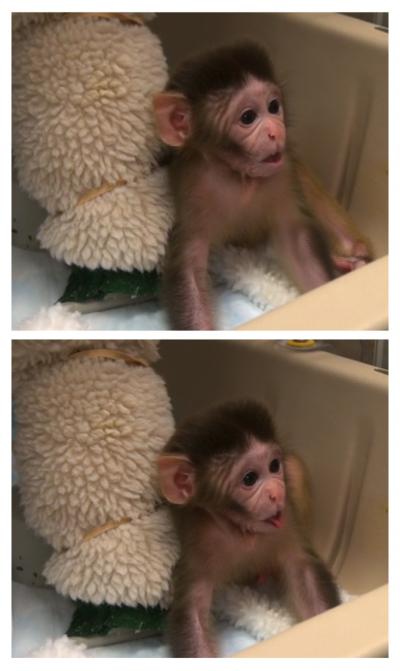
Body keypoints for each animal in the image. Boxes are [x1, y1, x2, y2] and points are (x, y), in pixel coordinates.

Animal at [153, 41, 371, 329]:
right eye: (248, 117)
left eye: (273, 106)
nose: (275, 132)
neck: (238, 176)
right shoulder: (193, 188)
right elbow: (188, 263)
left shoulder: (283, 173)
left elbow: (296, 241)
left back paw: (351, 255)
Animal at [157, 399, 340, 657]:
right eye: (249, 479)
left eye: (274, 466)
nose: (276, 493)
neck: (241, 530)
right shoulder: (198, 540)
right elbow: (192, 610)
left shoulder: (287, 520)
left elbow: (302, 570)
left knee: (294, 466)